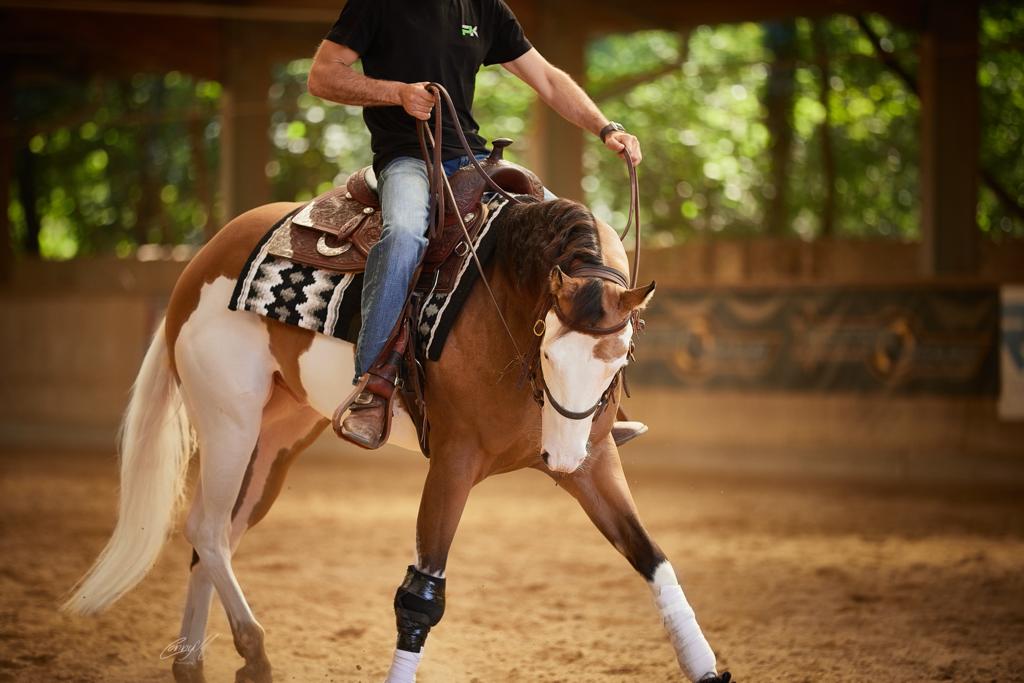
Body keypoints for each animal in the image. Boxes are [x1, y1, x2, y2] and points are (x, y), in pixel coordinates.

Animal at [61, 191, 727, 682]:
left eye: (618, 362)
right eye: (546, 348)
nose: (559, 457)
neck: (503, 301)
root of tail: (198, 266)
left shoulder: (596, 463)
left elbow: (653, 559)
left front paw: (704, 665)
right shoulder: (453, 465)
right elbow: (422, 595)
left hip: (273, 444)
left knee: (215, 536)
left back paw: (196, 664)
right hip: (230, 422)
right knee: (205, 531)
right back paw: (253, 650)